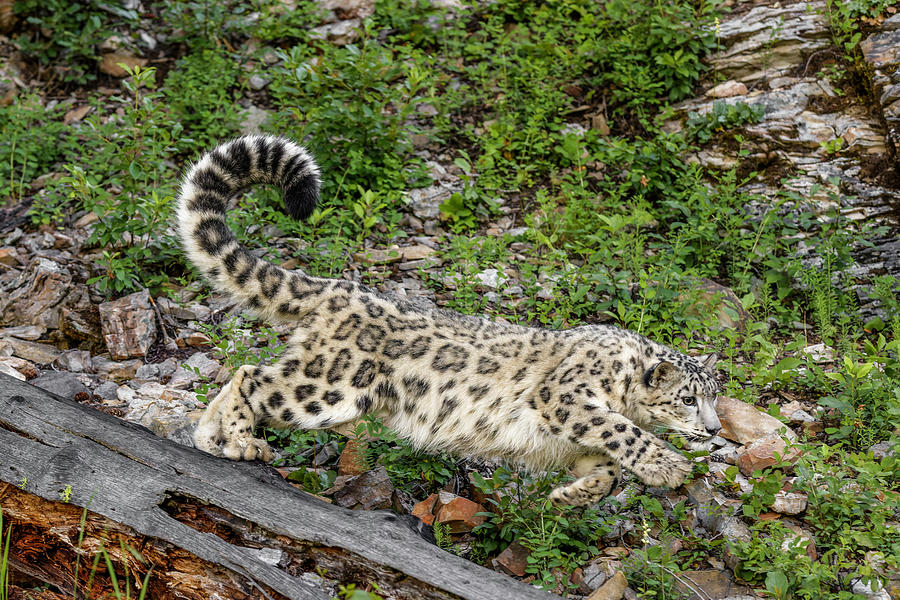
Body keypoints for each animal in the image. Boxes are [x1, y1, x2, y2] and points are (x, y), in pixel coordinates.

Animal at [179, 135, 722, 507]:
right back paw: (240, 440)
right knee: (251, 375)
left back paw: (214, 440)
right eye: (688, 399)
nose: (716, 431)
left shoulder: (575, 439)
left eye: (716, 398)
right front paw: (669, 466)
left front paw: (569, 496)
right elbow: (623, 433)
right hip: (330, 387)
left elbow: (610, 469)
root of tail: (337, 287)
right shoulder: (567, 398)